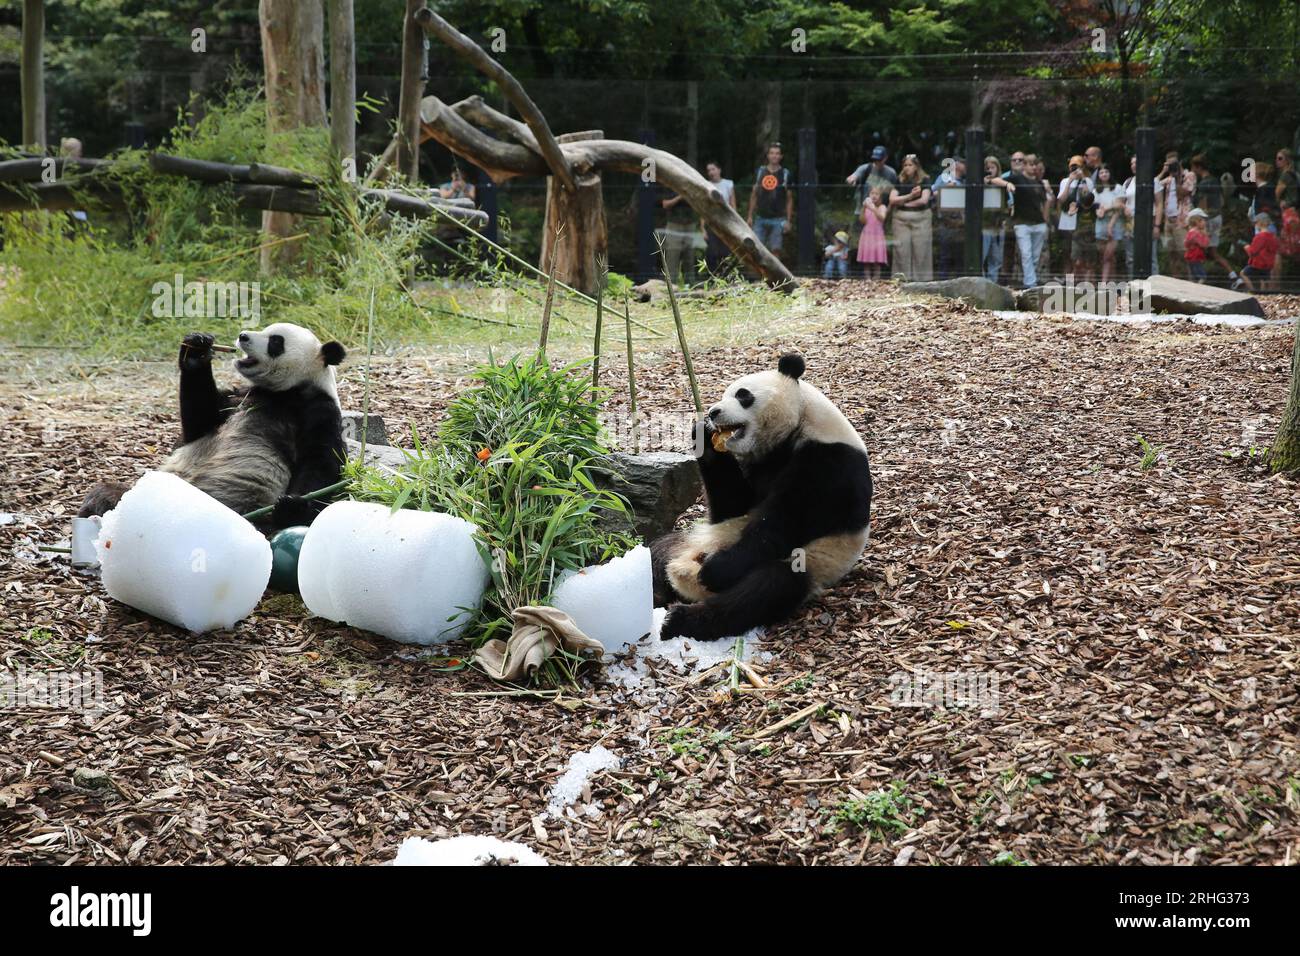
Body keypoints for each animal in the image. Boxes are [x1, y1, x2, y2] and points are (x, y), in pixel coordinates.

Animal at [78, 322, 347, 530]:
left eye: (275, 342)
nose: (243, 335)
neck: (283, 391)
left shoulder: (316, 409)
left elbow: (320, 460)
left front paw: (293, 506)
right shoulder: (239, 396)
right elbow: (199, 423)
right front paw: (196, 351)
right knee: (110, 494)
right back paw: (97, 510)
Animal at [651, 353, 872, 641]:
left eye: (743, 395)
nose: (713, 412)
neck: (800, 423)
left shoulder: (829, 464)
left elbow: (784, 523)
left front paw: (716, 569)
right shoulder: (760, 465)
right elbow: (734, 506)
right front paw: (703, 435)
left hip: (813, 562)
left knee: (764, 589)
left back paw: (679, 618)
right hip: (691, 539)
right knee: (657, 550)